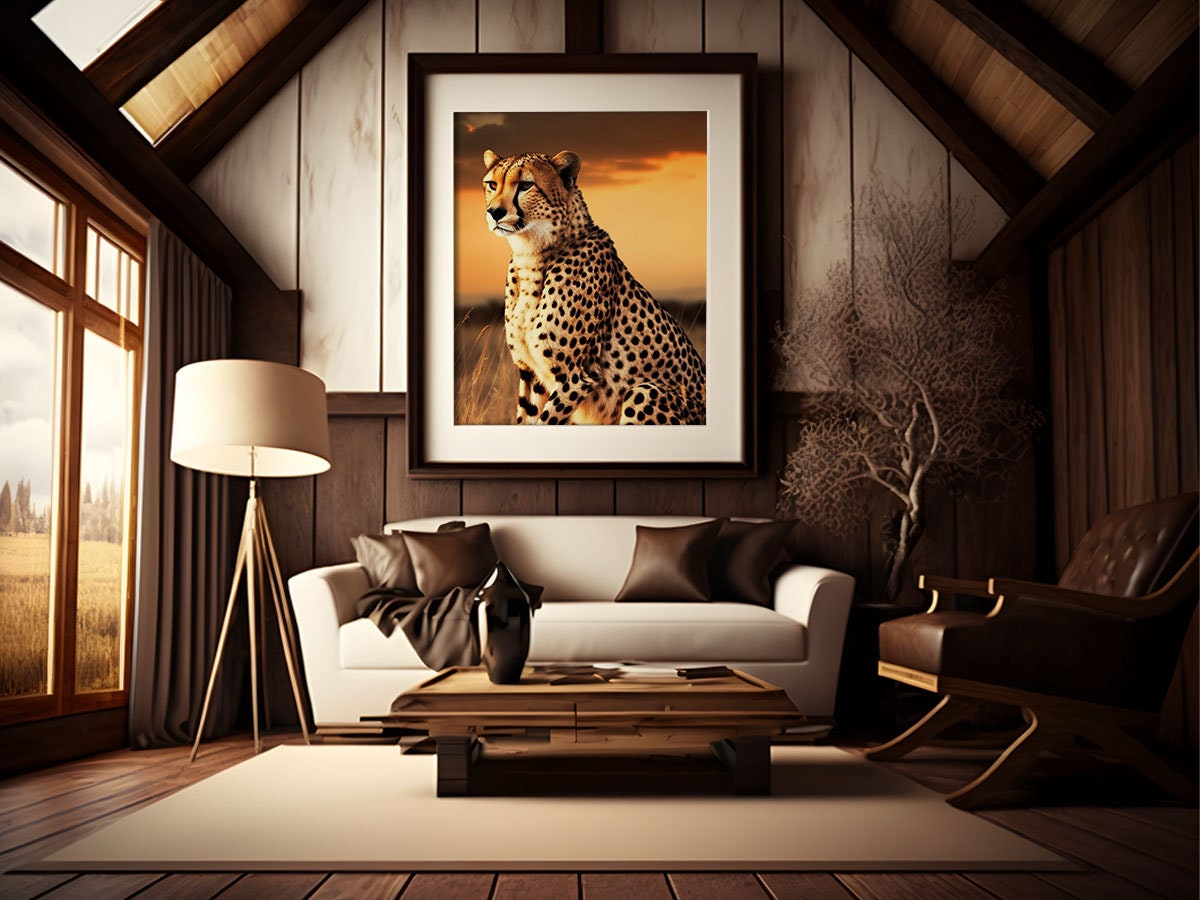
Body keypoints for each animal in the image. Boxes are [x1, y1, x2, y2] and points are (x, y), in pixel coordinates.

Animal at [481, 148, 706, 426]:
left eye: (525, 185)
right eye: (492, 185)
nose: (494, 212)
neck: (531, 256)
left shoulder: (574, 378)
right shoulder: (530, 373)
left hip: (644, 392)